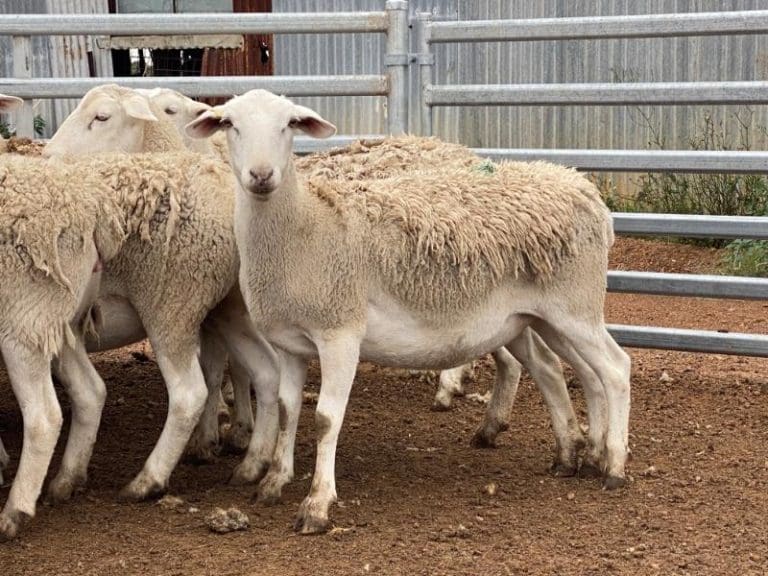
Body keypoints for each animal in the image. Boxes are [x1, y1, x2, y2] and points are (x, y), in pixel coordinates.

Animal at [0, 154, 125, 541]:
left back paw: (15, 511)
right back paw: (67, 480)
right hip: (60, 321)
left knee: (44, 418)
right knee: (91, 391)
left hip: (25, 322)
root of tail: (91, 209)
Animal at [187, 89, 631, 534]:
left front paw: (317, 504)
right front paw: (274, 481)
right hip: (539, 317)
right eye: (230, 124)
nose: (261, 176)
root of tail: (583, 189)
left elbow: (326, 418)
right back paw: (574, 455)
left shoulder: (340, 332)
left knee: (614, 368)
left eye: (289, 124)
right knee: (563, 371)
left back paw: (614, 466)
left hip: (576, 307)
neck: (305, 226)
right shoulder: (290, 343)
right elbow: (286, 409)